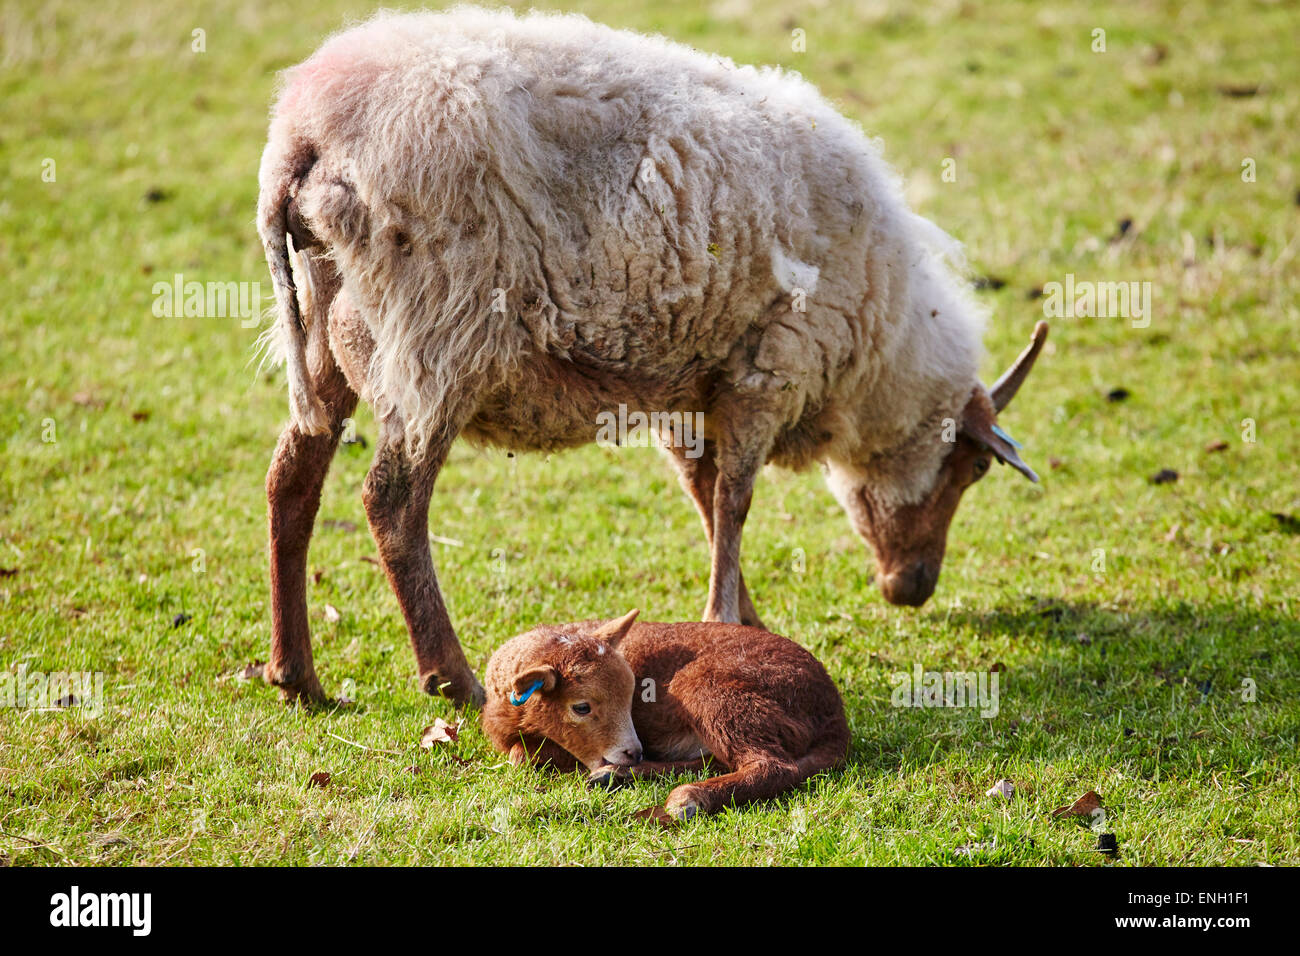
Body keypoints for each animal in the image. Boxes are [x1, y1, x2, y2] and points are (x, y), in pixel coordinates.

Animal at [257, 7, 1047, 708]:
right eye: (974, 469)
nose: (911, 589)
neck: (882, 343)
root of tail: (303, 133)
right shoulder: (771, 366)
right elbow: (734, 500)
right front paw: (725, 618)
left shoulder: (693, 384)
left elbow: (703, 491)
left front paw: (745, 619)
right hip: (438, 332)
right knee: (392, 503)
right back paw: (451, 678)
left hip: (330, 325)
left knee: (292, 478)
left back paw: (296, 676)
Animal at [482, 610, 849, 820]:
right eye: (581, 707)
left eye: (632, 696)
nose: (634, 752)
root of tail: (833, 715)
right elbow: (521, 754)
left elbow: (522, 756)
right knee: (721, 760)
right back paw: (618, 776)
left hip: (713, 690)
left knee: (773, 765)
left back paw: (688, 798)